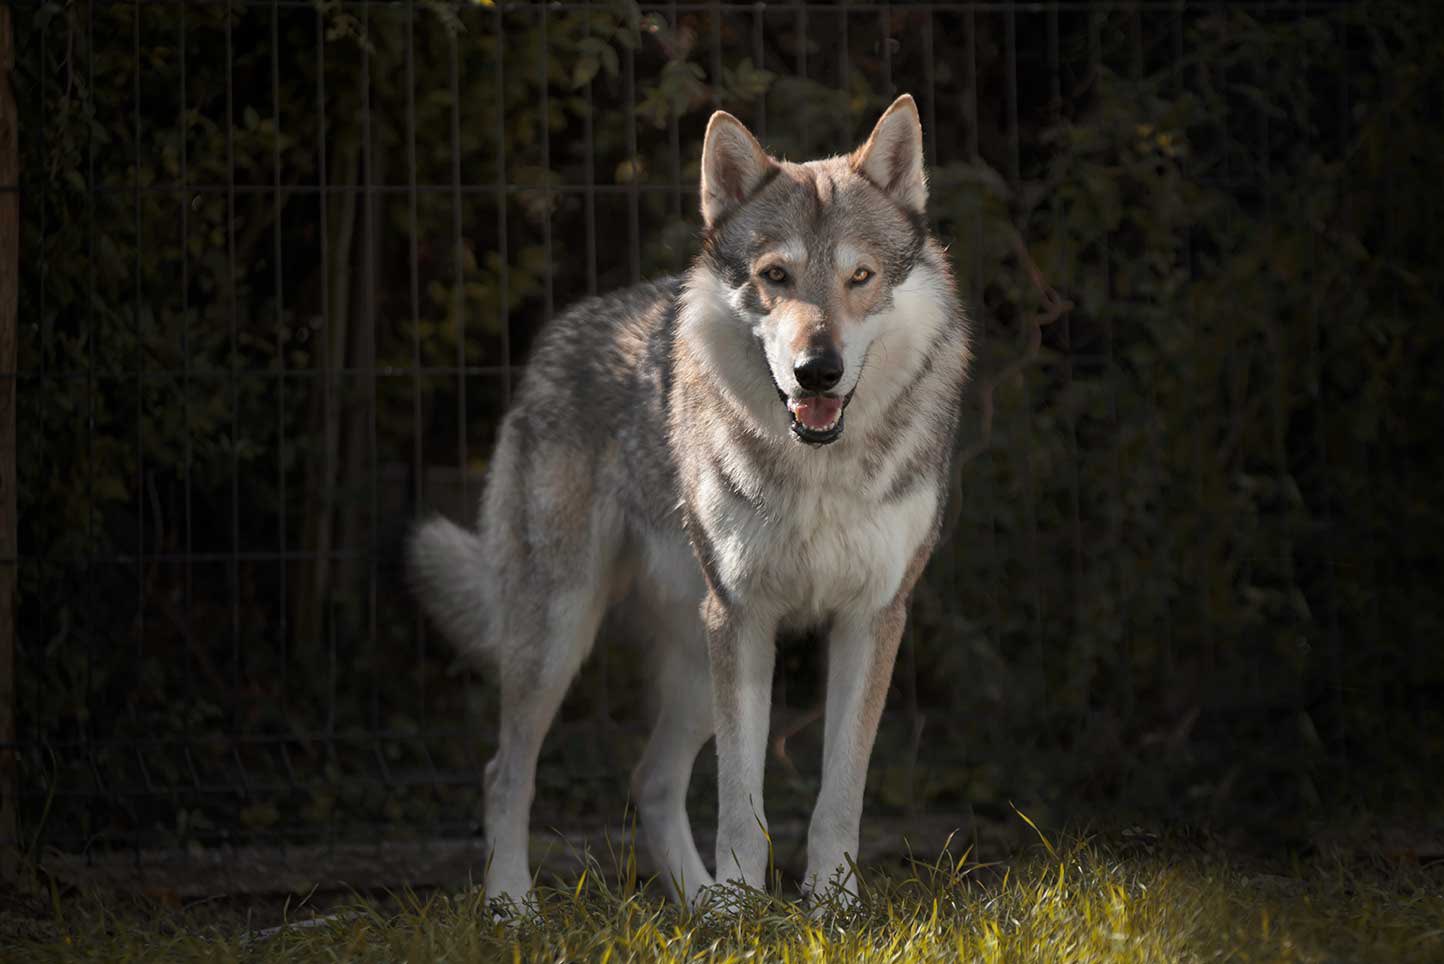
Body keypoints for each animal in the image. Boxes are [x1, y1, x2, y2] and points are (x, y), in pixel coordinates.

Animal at [408, 94, 971, 908]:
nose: (817, 370)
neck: (817, 470)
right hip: (568, 634)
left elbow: (840, 792)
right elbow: (741, 800)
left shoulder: (872, 619)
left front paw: (831, 906)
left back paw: (699, 903)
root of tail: (558, 333)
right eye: (776, 275)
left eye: (860, 276)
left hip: (693, 660)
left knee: (649, 779)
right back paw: (514, 905)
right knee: (504, 774)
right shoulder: (743, 617)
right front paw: (746, 906)